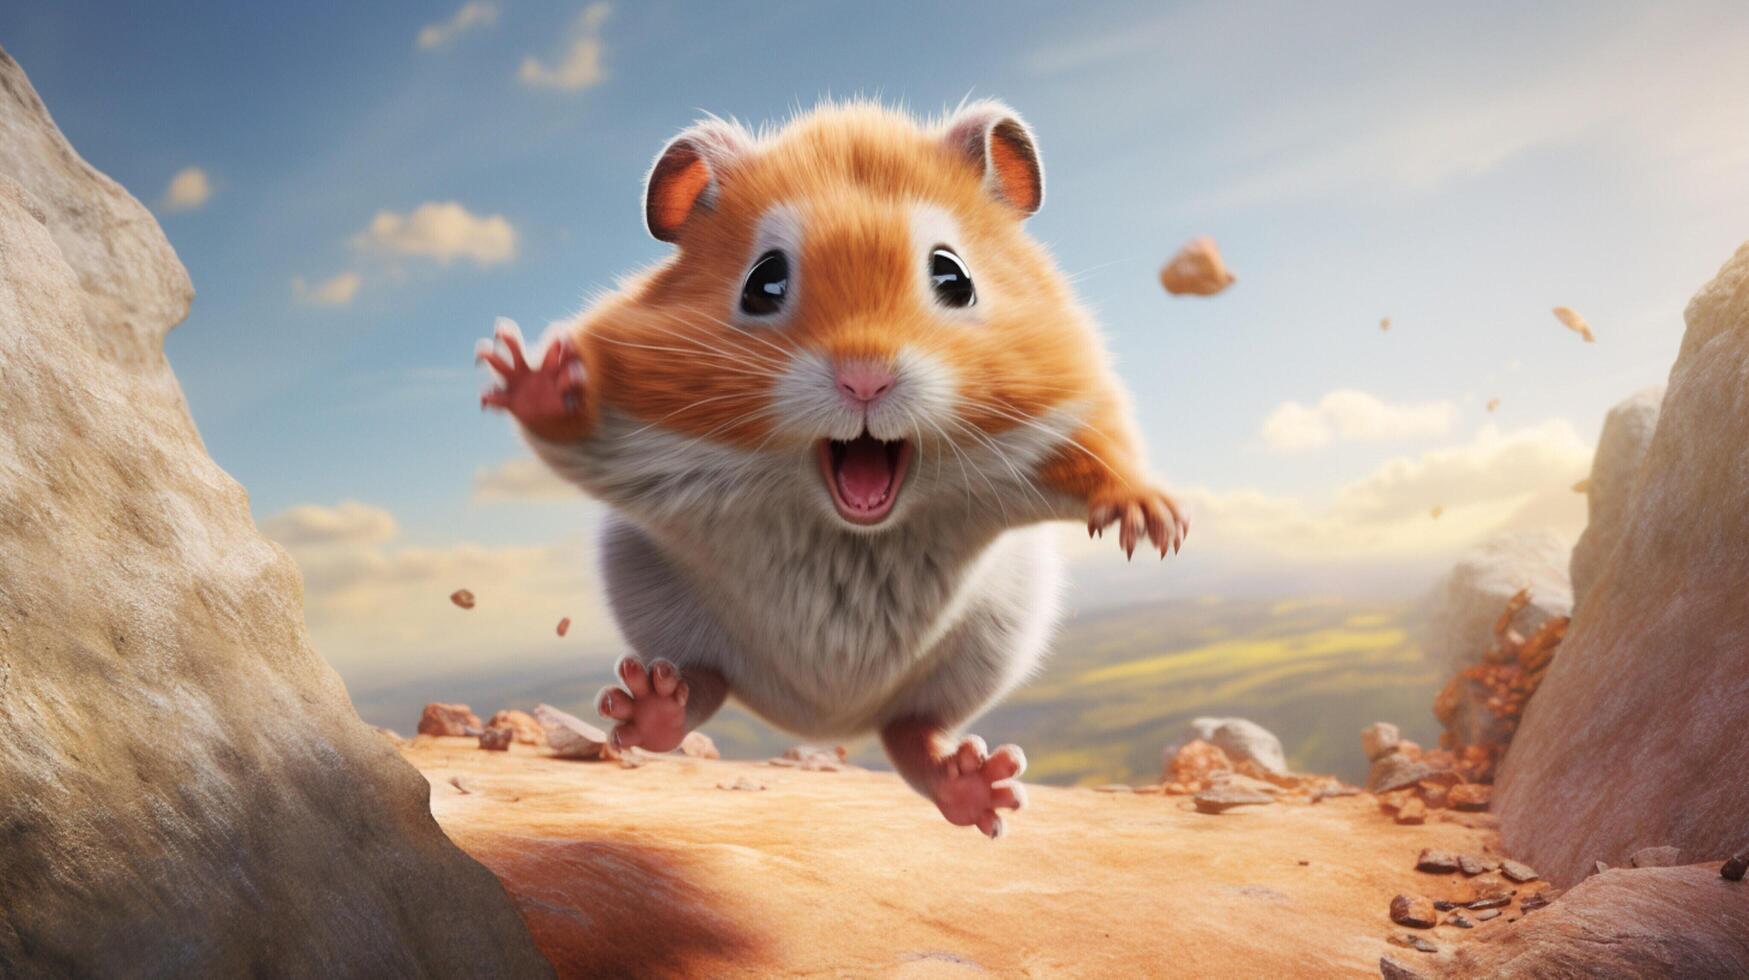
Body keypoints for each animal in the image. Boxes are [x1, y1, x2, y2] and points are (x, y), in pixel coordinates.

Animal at [477, 99, 1186, 838]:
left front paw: (1157, 527)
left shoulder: (1074, 409)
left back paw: (981, 788)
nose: (864, 379)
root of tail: (828, 718)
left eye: (953, 277)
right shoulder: (631, 426)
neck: (849, 524)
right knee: (700, 688)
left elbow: (1105, 456)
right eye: (763, 281)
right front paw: (529, 370)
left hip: (986, 648)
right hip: (661, 607)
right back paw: (648, 705)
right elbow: (572, 421)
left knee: (914, 731)